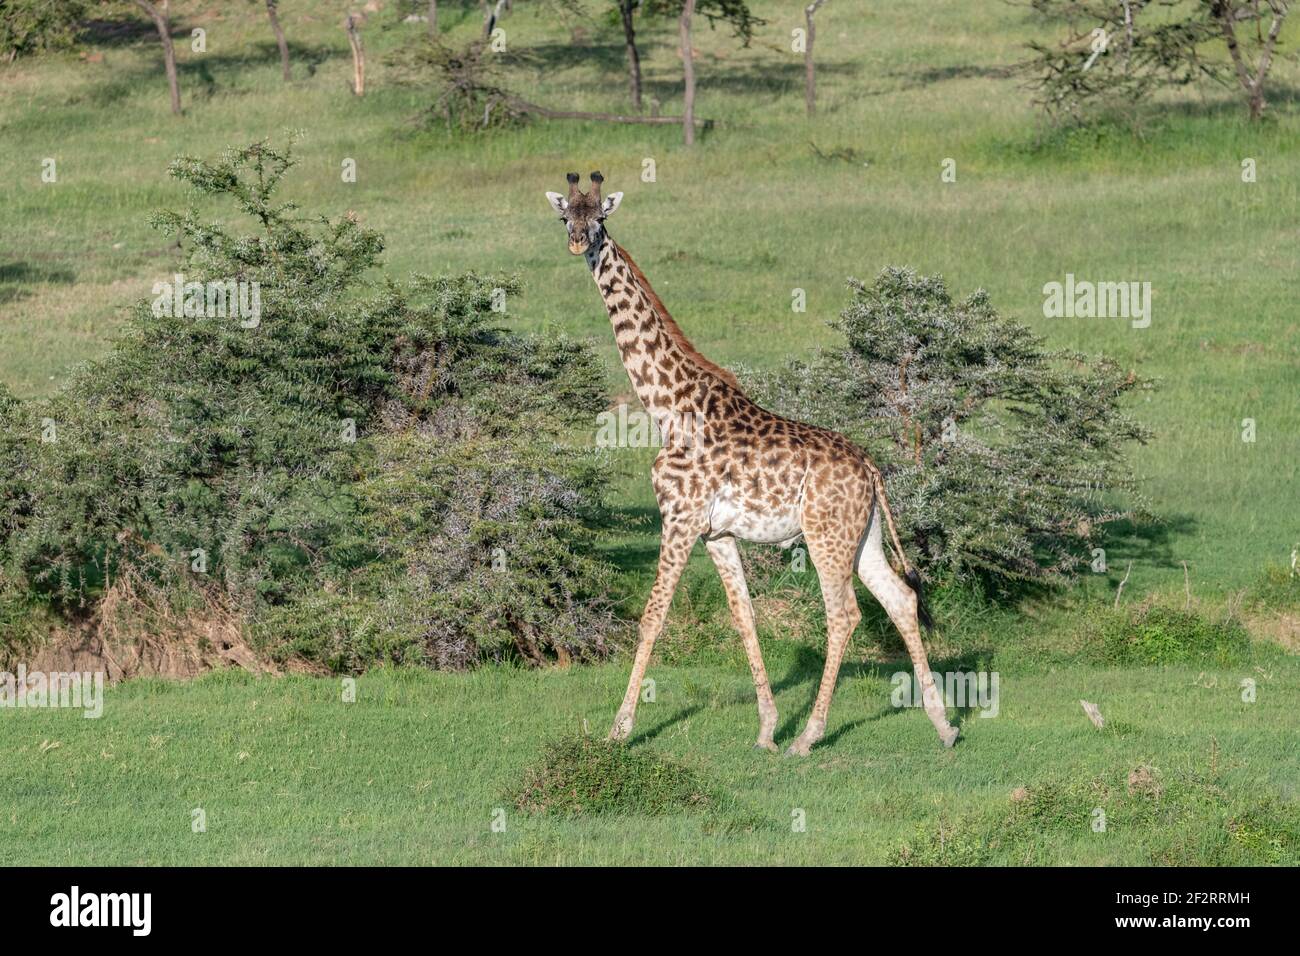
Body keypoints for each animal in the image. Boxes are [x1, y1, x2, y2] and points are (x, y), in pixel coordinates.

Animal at [545, 172, 959, 755]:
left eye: (601, 217)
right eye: (566, 217)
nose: (580, 242)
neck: (666, 405)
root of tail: (872, 469)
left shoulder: (679, 518)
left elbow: (652, 617)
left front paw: (618, 730)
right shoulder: (716, 532)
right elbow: (744, 617)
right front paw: (765, 729)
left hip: (825, 536)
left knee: (844, 614)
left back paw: (810, 736)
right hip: (863, 535)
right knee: (899, 599)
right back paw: (944, 726)